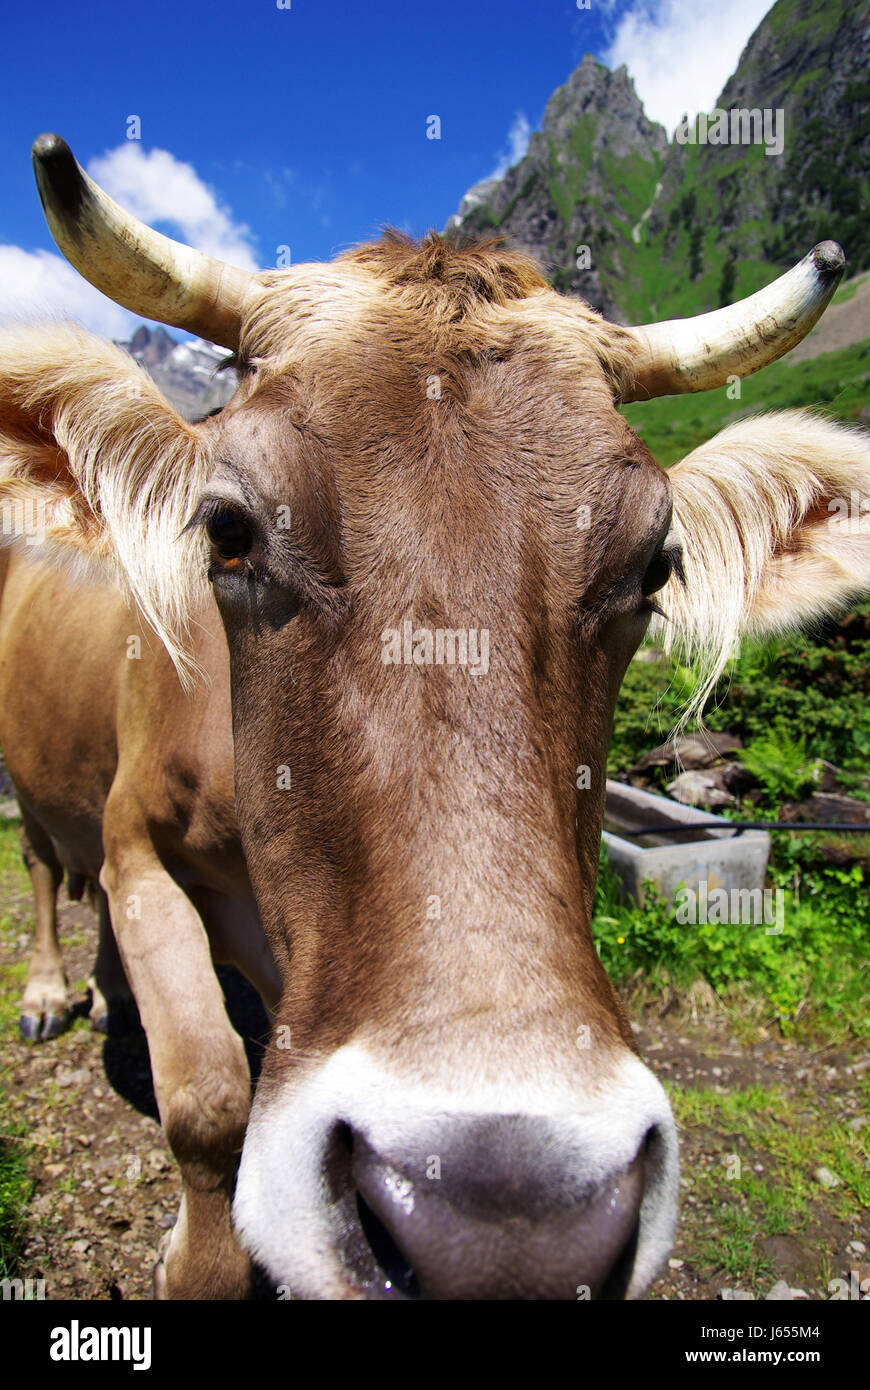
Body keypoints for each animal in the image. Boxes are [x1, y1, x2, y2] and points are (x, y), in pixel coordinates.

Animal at [0, 131, 868, 1300]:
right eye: (226, 527)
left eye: (656, 565)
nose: (506, 1222)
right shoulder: (140, 839)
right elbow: (210, 1104)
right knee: (49, 865)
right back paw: (55, 991)